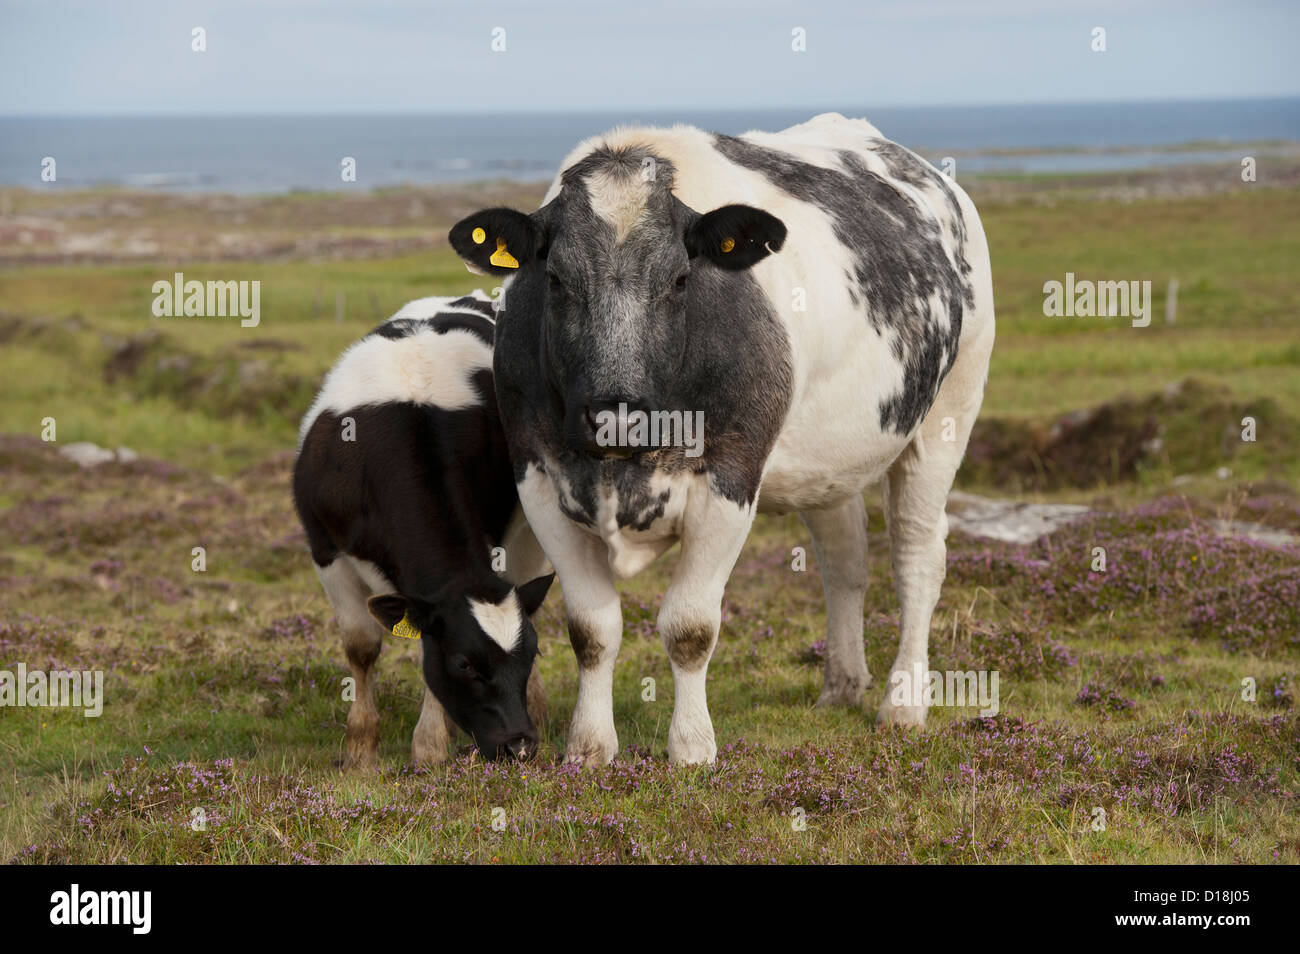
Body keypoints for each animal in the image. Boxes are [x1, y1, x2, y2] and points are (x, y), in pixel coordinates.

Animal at [293, 291, 554, 767]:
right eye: (464, 664)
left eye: (533, 652)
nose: (520, 745)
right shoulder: (326, 551)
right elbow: (361, 645)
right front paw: (361, 748)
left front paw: (430, 745)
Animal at [448, 113, 996, 765]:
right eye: (554, 279)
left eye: (681, 278)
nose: (617, 417)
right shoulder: (538, 474)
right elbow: (591, 628)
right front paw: (589, 747)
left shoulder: (731, 476)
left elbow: (690, 627)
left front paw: (691, 747)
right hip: (829, 460)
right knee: (845, 558)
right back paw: (842, 685)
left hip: (948, 415)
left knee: (916, 555)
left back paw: (904, 704)